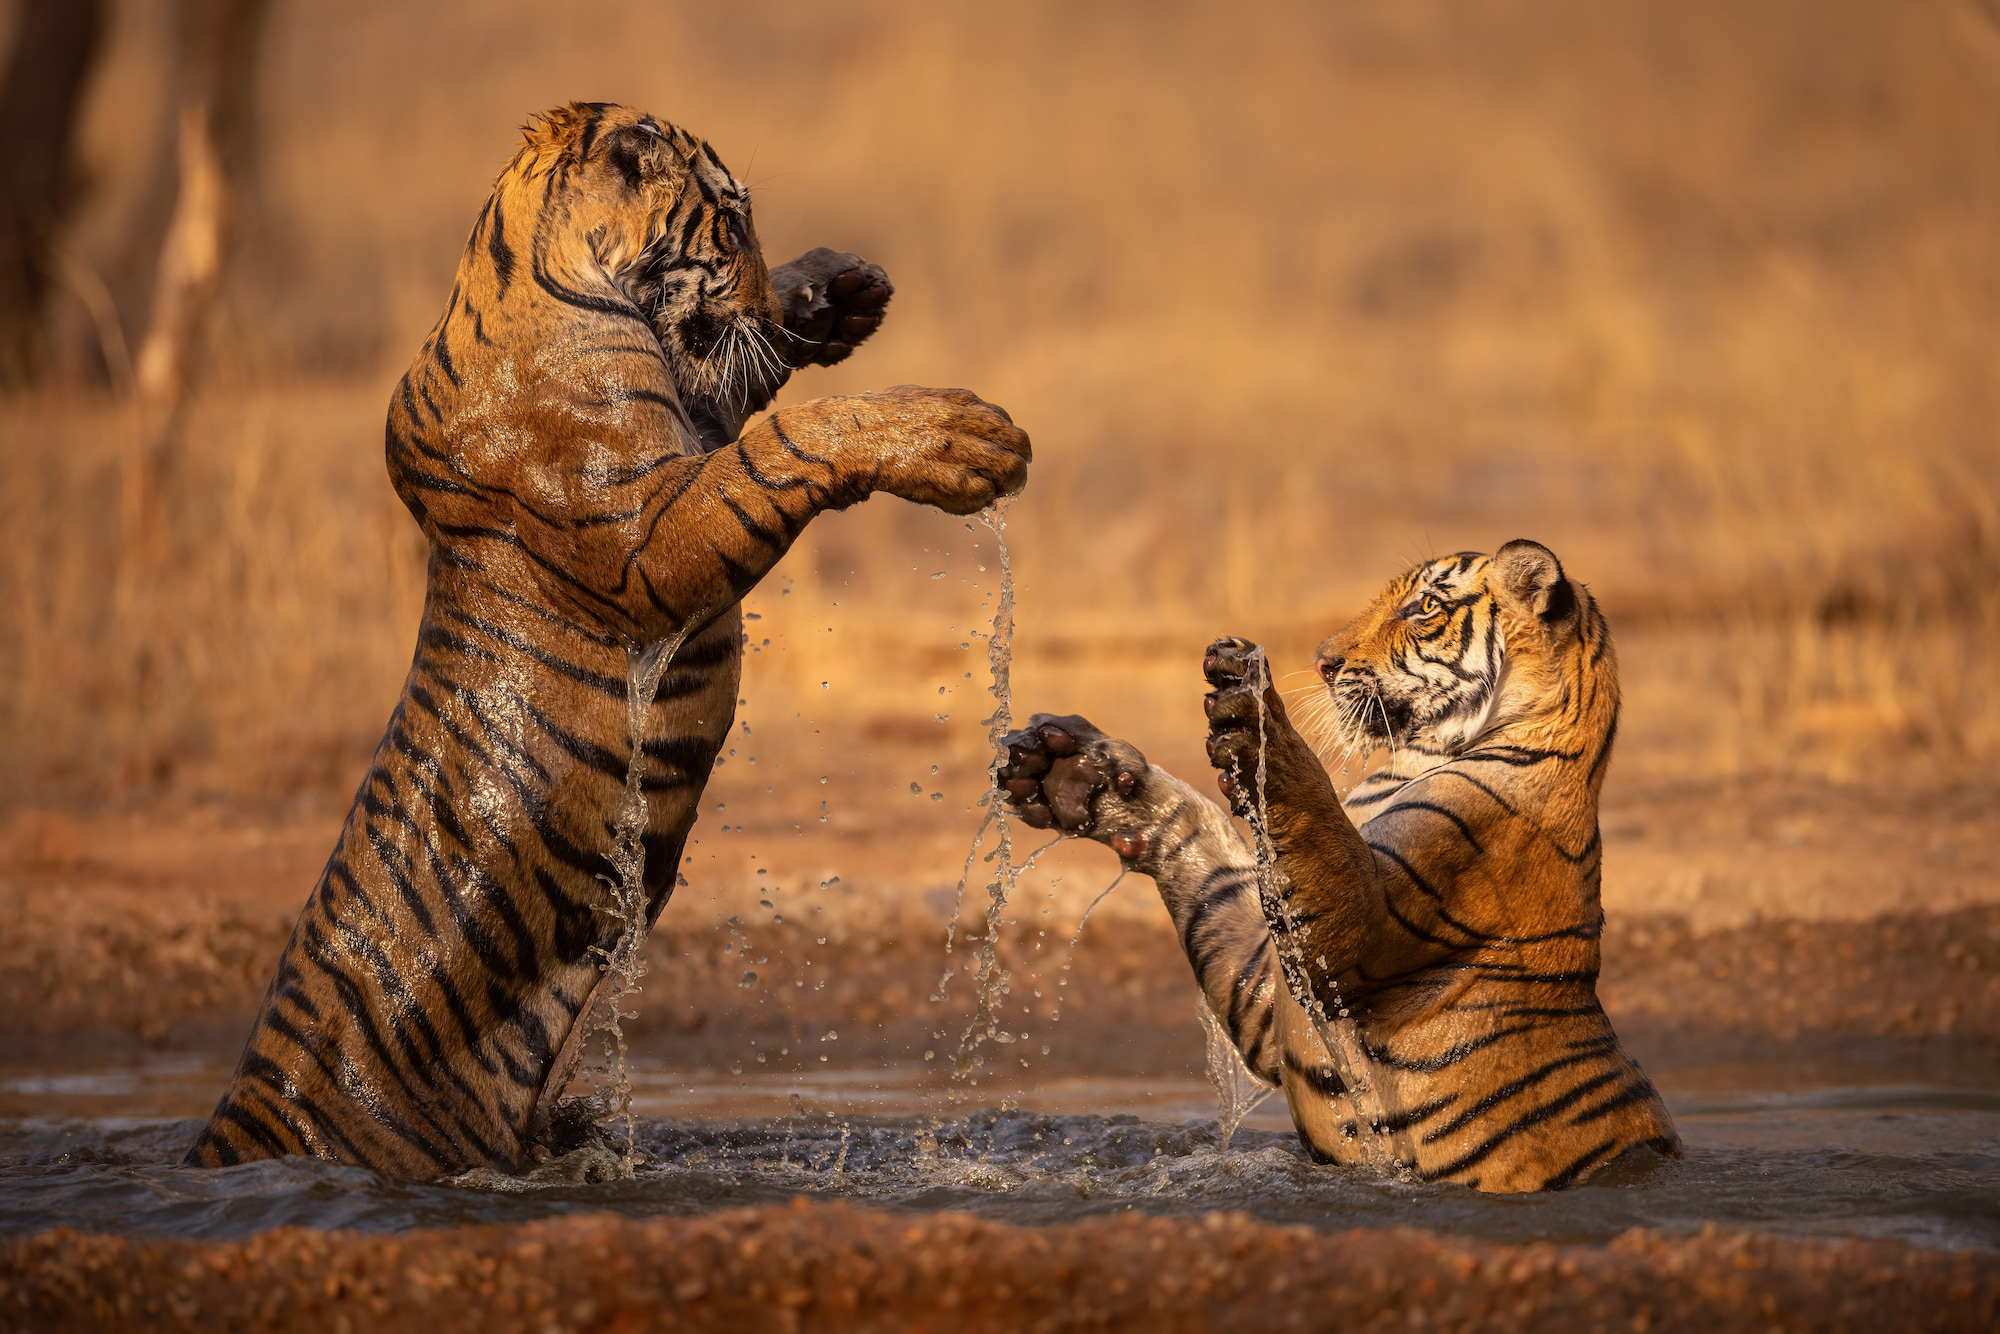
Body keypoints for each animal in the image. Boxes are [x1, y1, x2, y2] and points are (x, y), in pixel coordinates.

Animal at [184, 102, 1030, 1177]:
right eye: (731, 222)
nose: (783, 289)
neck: (522, 271)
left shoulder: (689, 427)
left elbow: (745, 385)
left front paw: (837, 289)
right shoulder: (647, 539)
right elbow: (782, 442)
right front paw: (957, 436)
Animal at [997, 541, 1679, 1193]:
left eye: (1425, 607)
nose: (1323, 662)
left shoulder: (1355, 934)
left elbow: (1308, 808)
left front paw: (1252, 712)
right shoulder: (1266, 989)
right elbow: (1208, 861)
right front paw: (1074, 772)